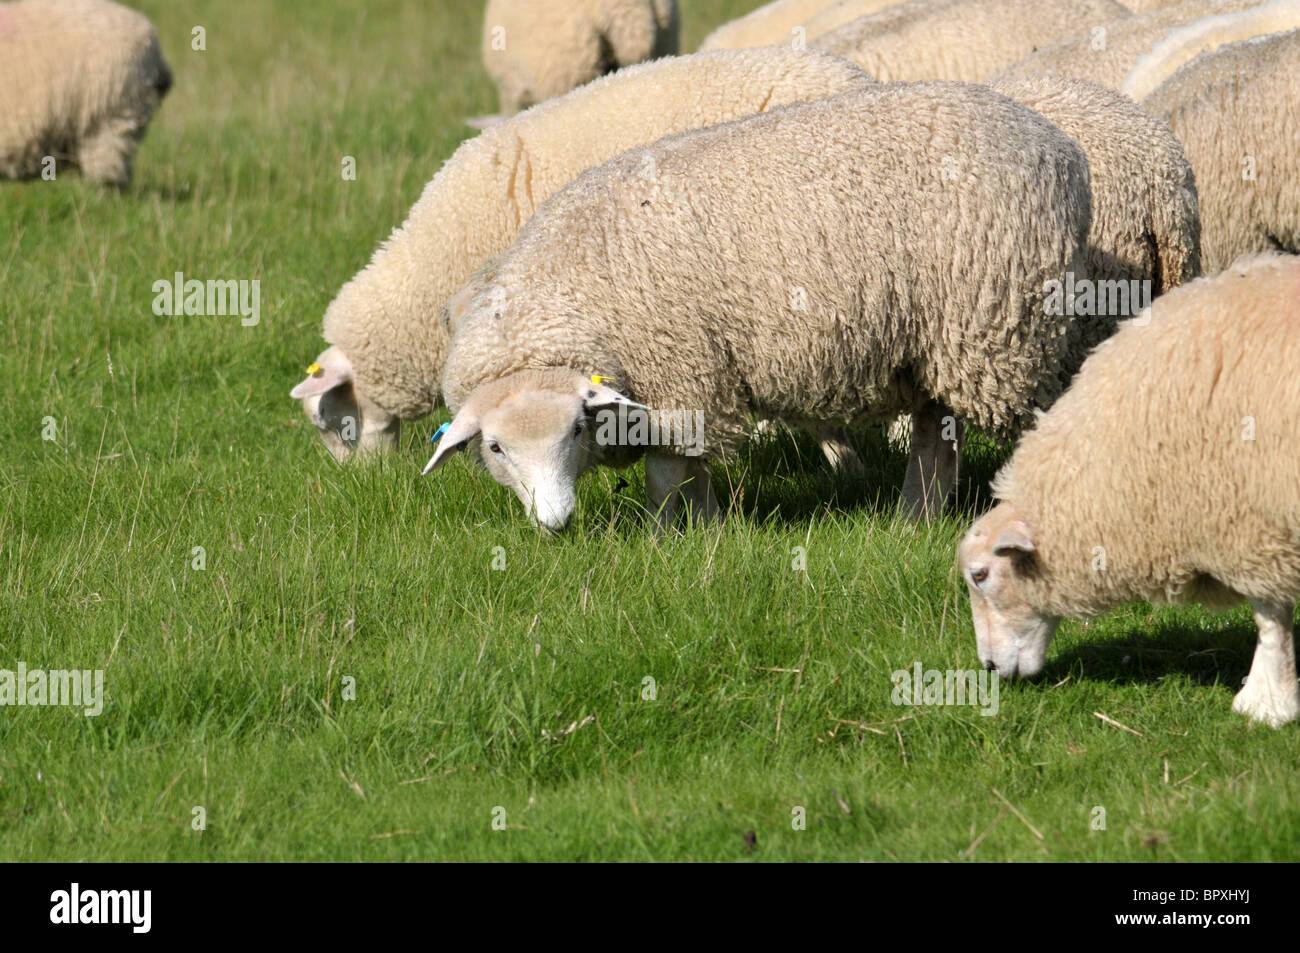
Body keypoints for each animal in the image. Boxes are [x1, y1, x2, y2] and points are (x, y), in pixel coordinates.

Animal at [425, 82, 1094, 530]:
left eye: (574, 428)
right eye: (495, 448)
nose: (557, 522)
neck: (573, 293)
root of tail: (1059, 147)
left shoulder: (680, 376)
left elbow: (667, 475)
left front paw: (669, 537)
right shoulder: (682, 386)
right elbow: (692, 470)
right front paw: (707, 530)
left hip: (1001, 326)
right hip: (941, 337)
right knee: (936, 430)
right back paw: (915, 518)